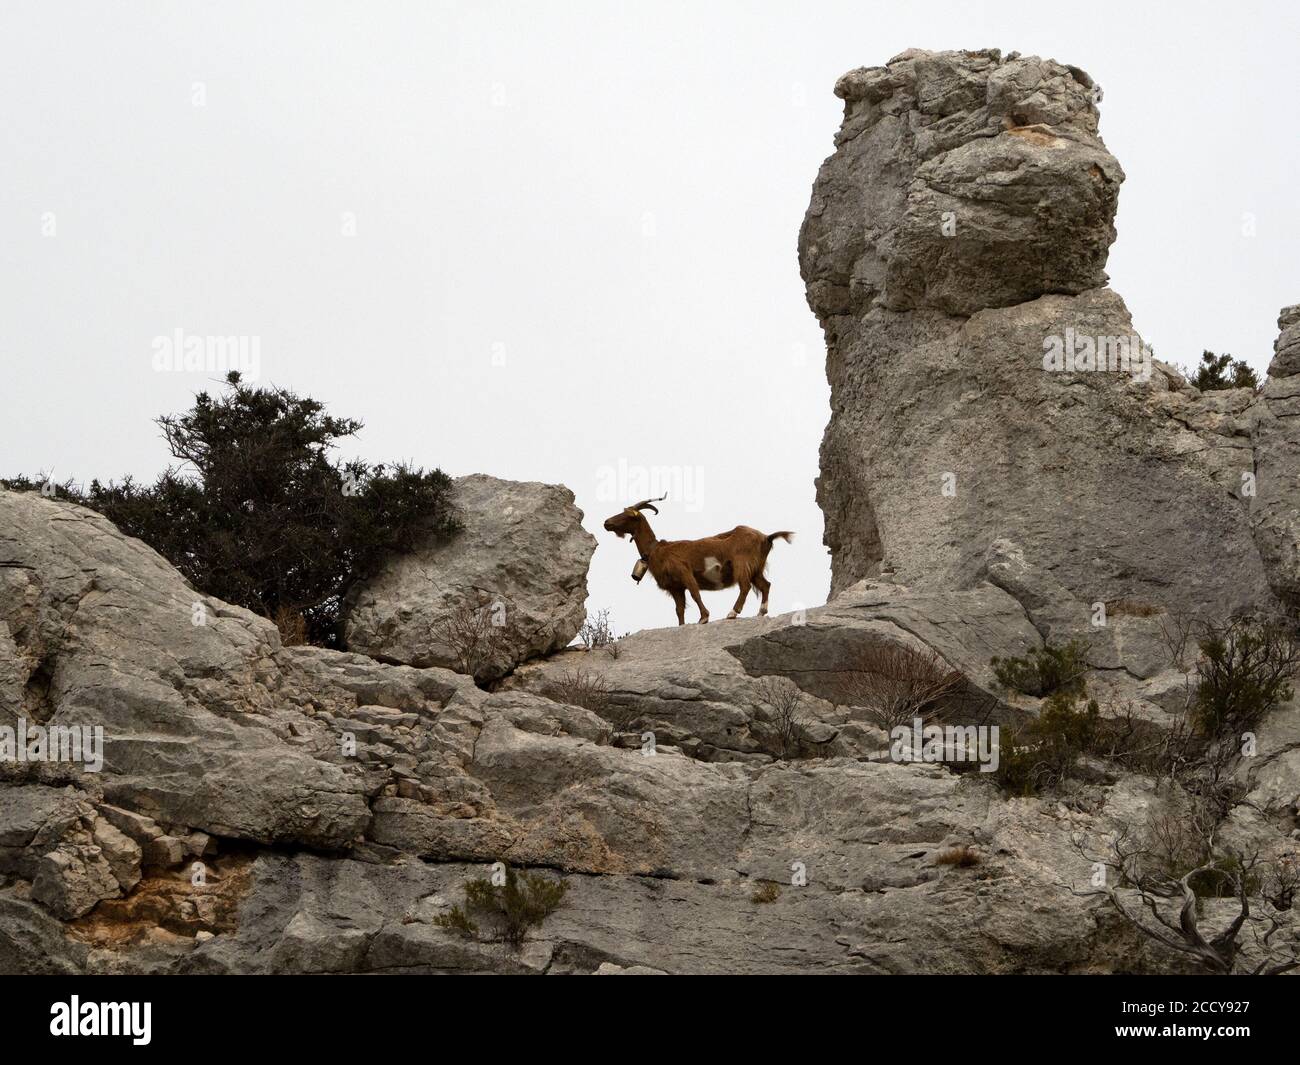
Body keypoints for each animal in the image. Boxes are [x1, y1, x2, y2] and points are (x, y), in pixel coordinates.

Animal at [603, 495, 793, 625]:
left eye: (628, 515)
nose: (606, 522)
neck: (656, 550)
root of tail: (766, 537)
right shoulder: (675, 587)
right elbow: (679, 609)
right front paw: (681, 625)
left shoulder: (685, 573)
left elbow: (695, 593)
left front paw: (704, 618)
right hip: (756, 568)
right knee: (765, 585)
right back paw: (761, 612)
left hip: (742, 564)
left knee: (745, 586)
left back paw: (732, 613)